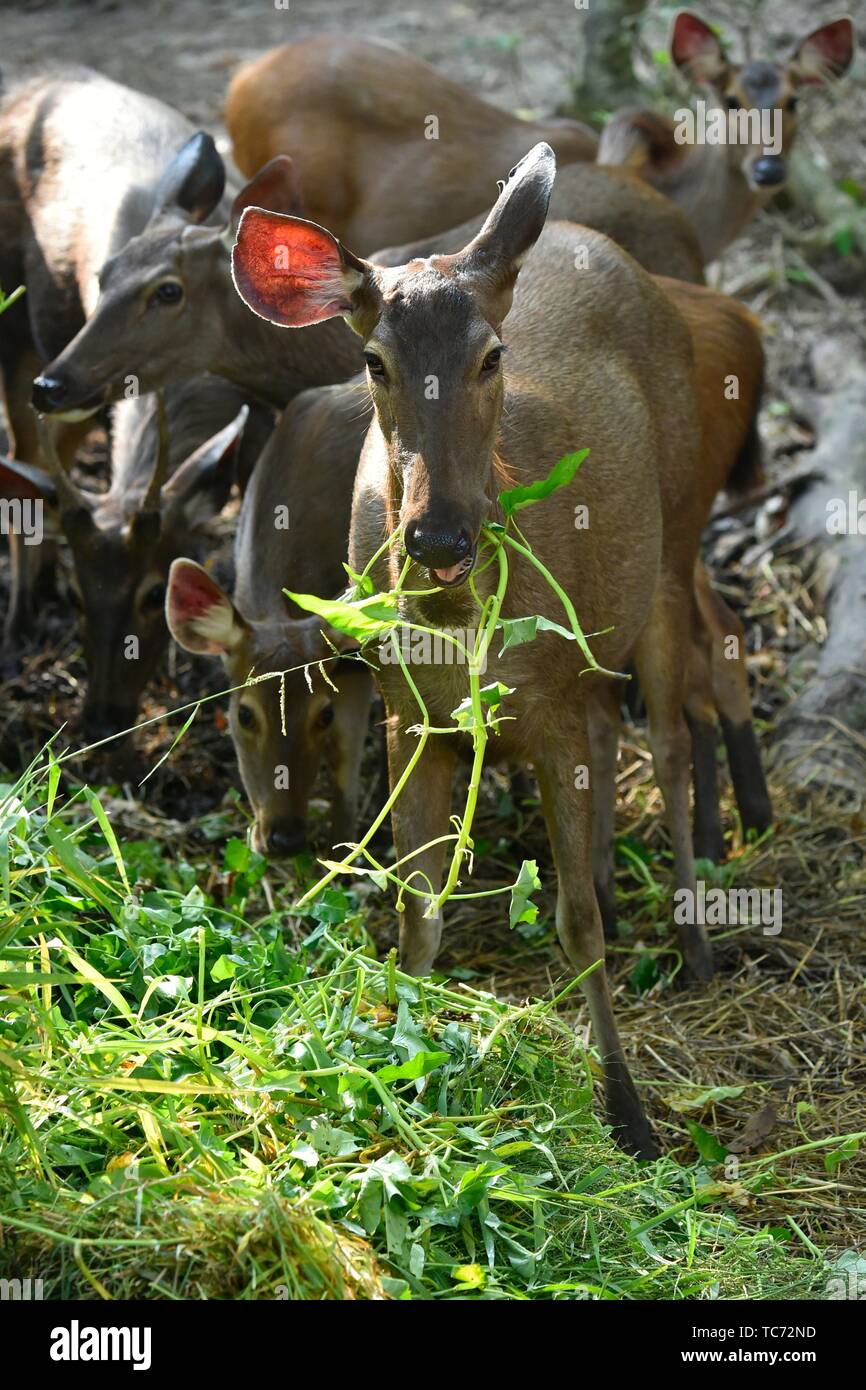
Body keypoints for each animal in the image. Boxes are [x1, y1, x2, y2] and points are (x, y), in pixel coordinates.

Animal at [230, 143, 774, 1156]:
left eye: (491, 356)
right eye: (373, 361)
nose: (439, 537)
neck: (461, 635)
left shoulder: (546, 707)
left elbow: (575, 924)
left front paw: (628, 1113)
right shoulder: (408, 716)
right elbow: (418, 912)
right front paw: (404, 1075)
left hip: (674, 543)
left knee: (671, 736)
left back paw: (694, 942)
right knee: (615, 725)